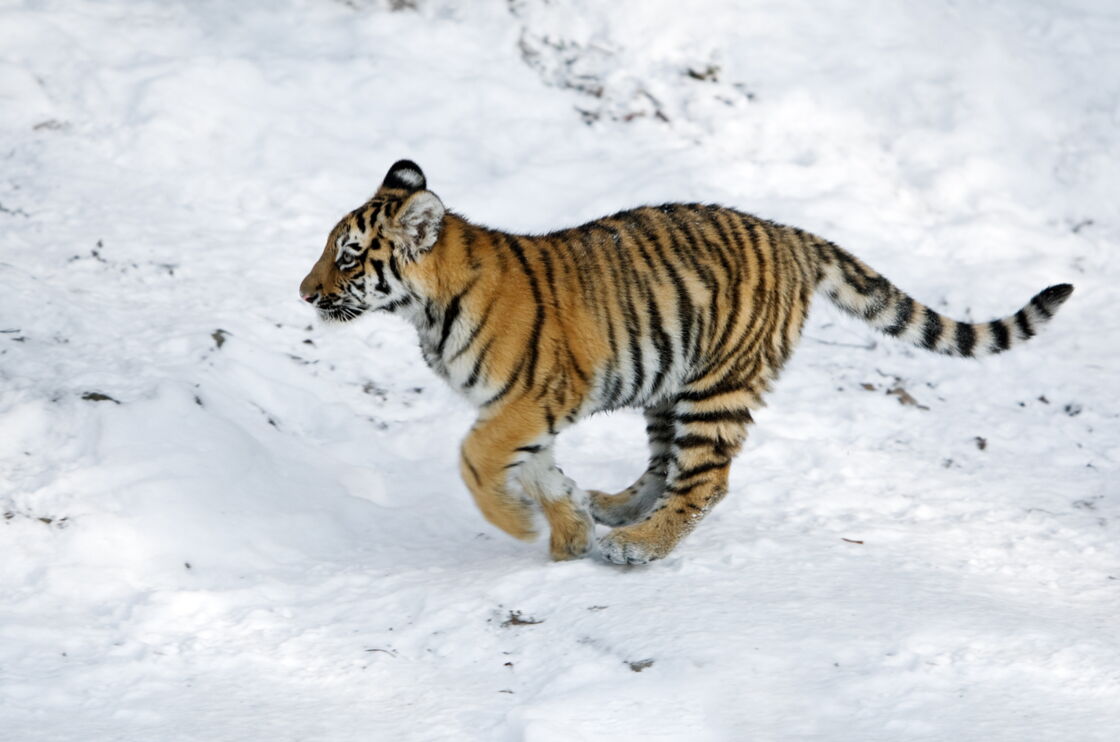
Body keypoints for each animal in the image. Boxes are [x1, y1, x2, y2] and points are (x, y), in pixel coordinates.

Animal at [299, 159, 1073, 565]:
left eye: (348, 257)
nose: (304, 293)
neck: (427, 309)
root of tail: (792, 235)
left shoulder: (526, 400)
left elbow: (476, 458)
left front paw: (523, 527)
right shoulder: (525, 412)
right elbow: (544, 472)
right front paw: (569, 531)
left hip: (717, 386)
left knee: (704, 481)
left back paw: (637, 545)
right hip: (667, 383)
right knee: (664, 466)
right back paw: (612, 510)